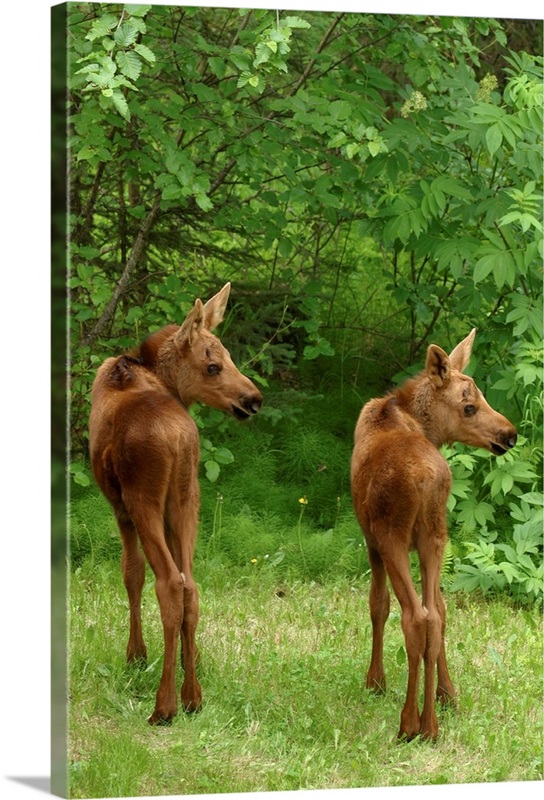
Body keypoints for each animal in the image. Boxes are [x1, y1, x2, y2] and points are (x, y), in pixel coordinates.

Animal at [89, 283, 262, 724]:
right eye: (214, 365)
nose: (254, 399)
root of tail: (179, 438)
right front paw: (192, 659)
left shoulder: (119, 507)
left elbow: (130, 572)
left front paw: (135, 655)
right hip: (187, 498)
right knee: (191, 586)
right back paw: (192, 695)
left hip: (144, 499)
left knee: (168, 583)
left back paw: (164, 704)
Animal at [350, 329, 517, 740]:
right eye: (470, 406)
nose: (509, 435)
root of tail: (428, 480)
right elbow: (440, 606)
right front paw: (447, 694)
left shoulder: (371, 540)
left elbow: (378, 605)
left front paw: (375, 681)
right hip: (436, 536)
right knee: (436, 615)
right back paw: (433, 721)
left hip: (392, 536)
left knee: (416, 618)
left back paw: (410, 723)